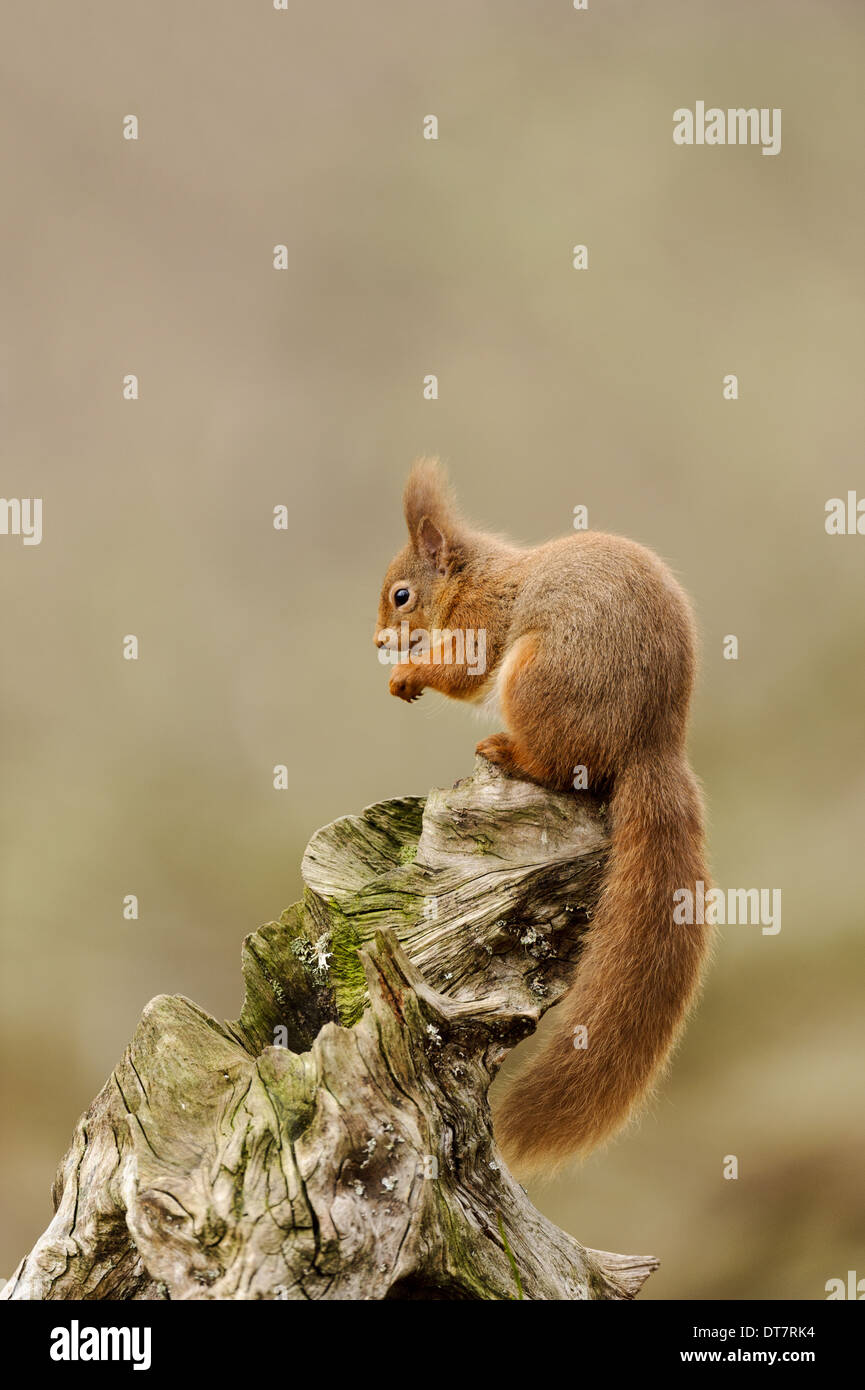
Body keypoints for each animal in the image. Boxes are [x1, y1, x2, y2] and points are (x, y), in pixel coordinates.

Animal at [374, 458, 711, 1175]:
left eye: (402, 597)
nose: (380, 644)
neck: (474, 577)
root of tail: (651, 745)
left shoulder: (483, 622)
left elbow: (465, 668)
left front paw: (410, 674)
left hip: (536, 678)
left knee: (555, 765)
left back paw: (508, 752)